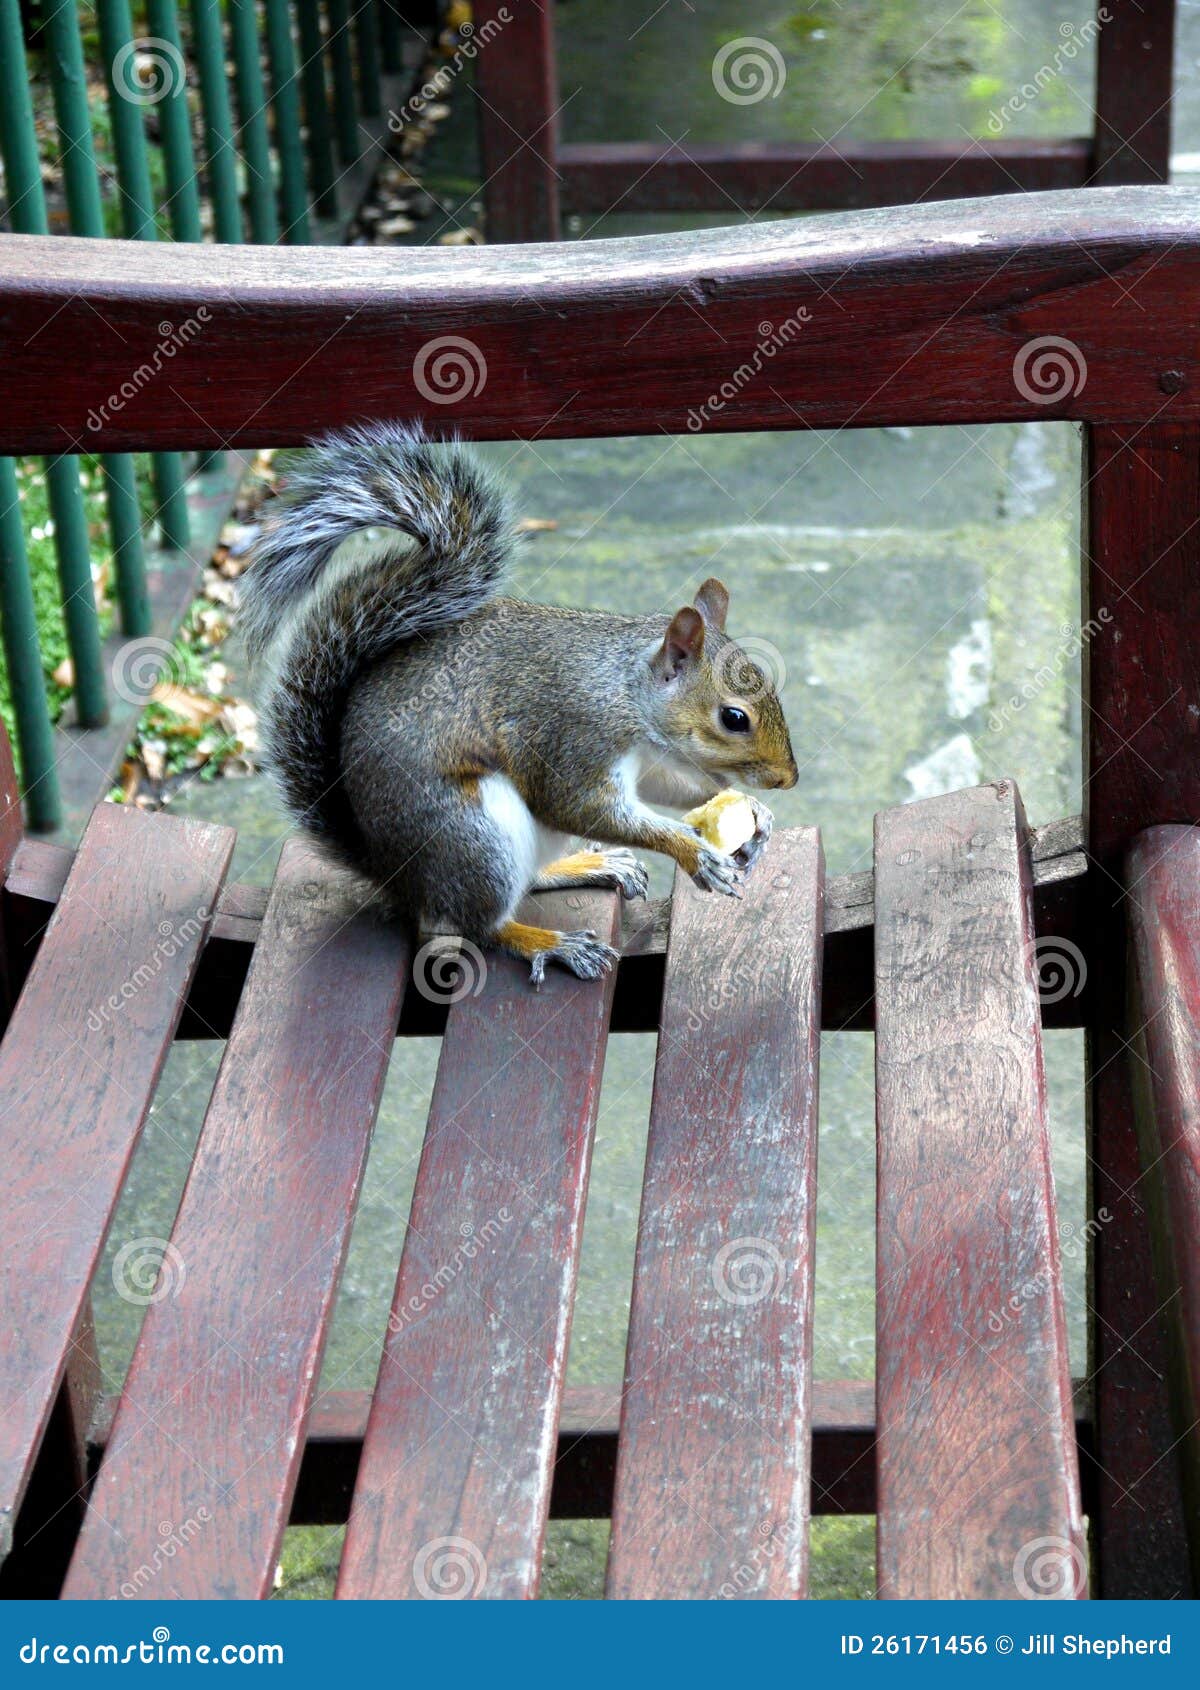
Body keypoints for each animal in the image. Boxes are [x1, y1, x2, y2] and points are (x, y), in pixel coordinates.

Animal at [242, 423, 798, 986]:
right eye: (734, 718)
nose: (787, 779)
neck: (625, 692)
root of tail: (393, 874)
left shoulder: (646, 761)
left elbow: (668, 785)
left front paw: (753, 809)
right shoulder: (574, 738)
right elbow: (578, 805)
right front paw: (693, 851)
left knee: (529, 880)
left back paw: (587, 867)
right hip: (474, 837)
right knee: (480, 925)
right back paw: (550, 943)